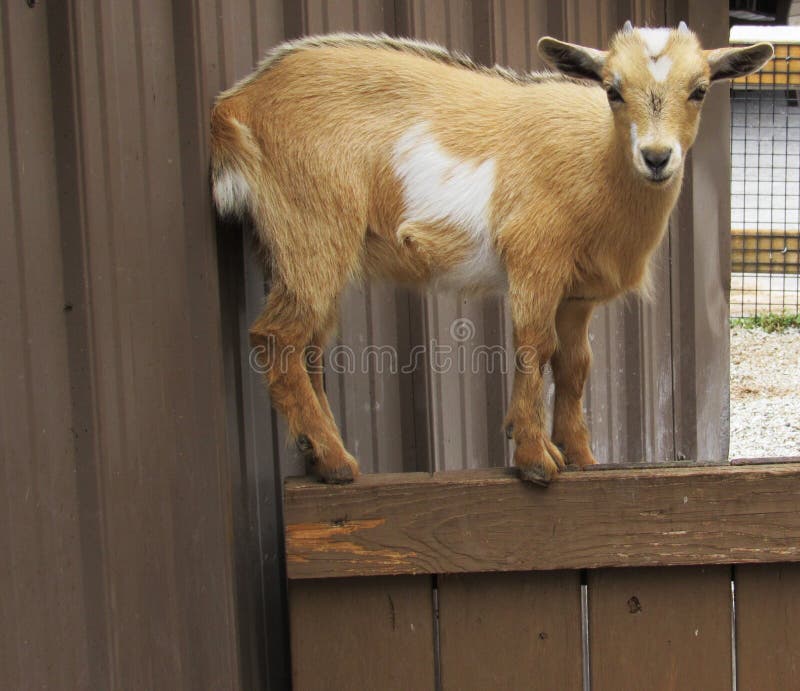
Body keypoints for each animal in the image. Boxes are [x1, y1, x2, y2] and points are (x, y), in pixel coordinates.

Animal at [210, 22, 773, 485]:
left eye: (699, 90)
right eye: (612, 90)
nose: (656, 157)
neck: (599, 163)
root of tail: (235, 105)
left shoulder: (577, 294)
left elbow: (575, 364)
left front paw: (581, 458)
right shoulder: (534, 258)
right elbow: (533, 347)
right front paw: (534, 458)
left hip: (299, 245)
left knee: (309, 346)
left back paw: (317, 453)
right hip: (312, 226)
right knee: (276, 337)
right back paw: (335, 462)